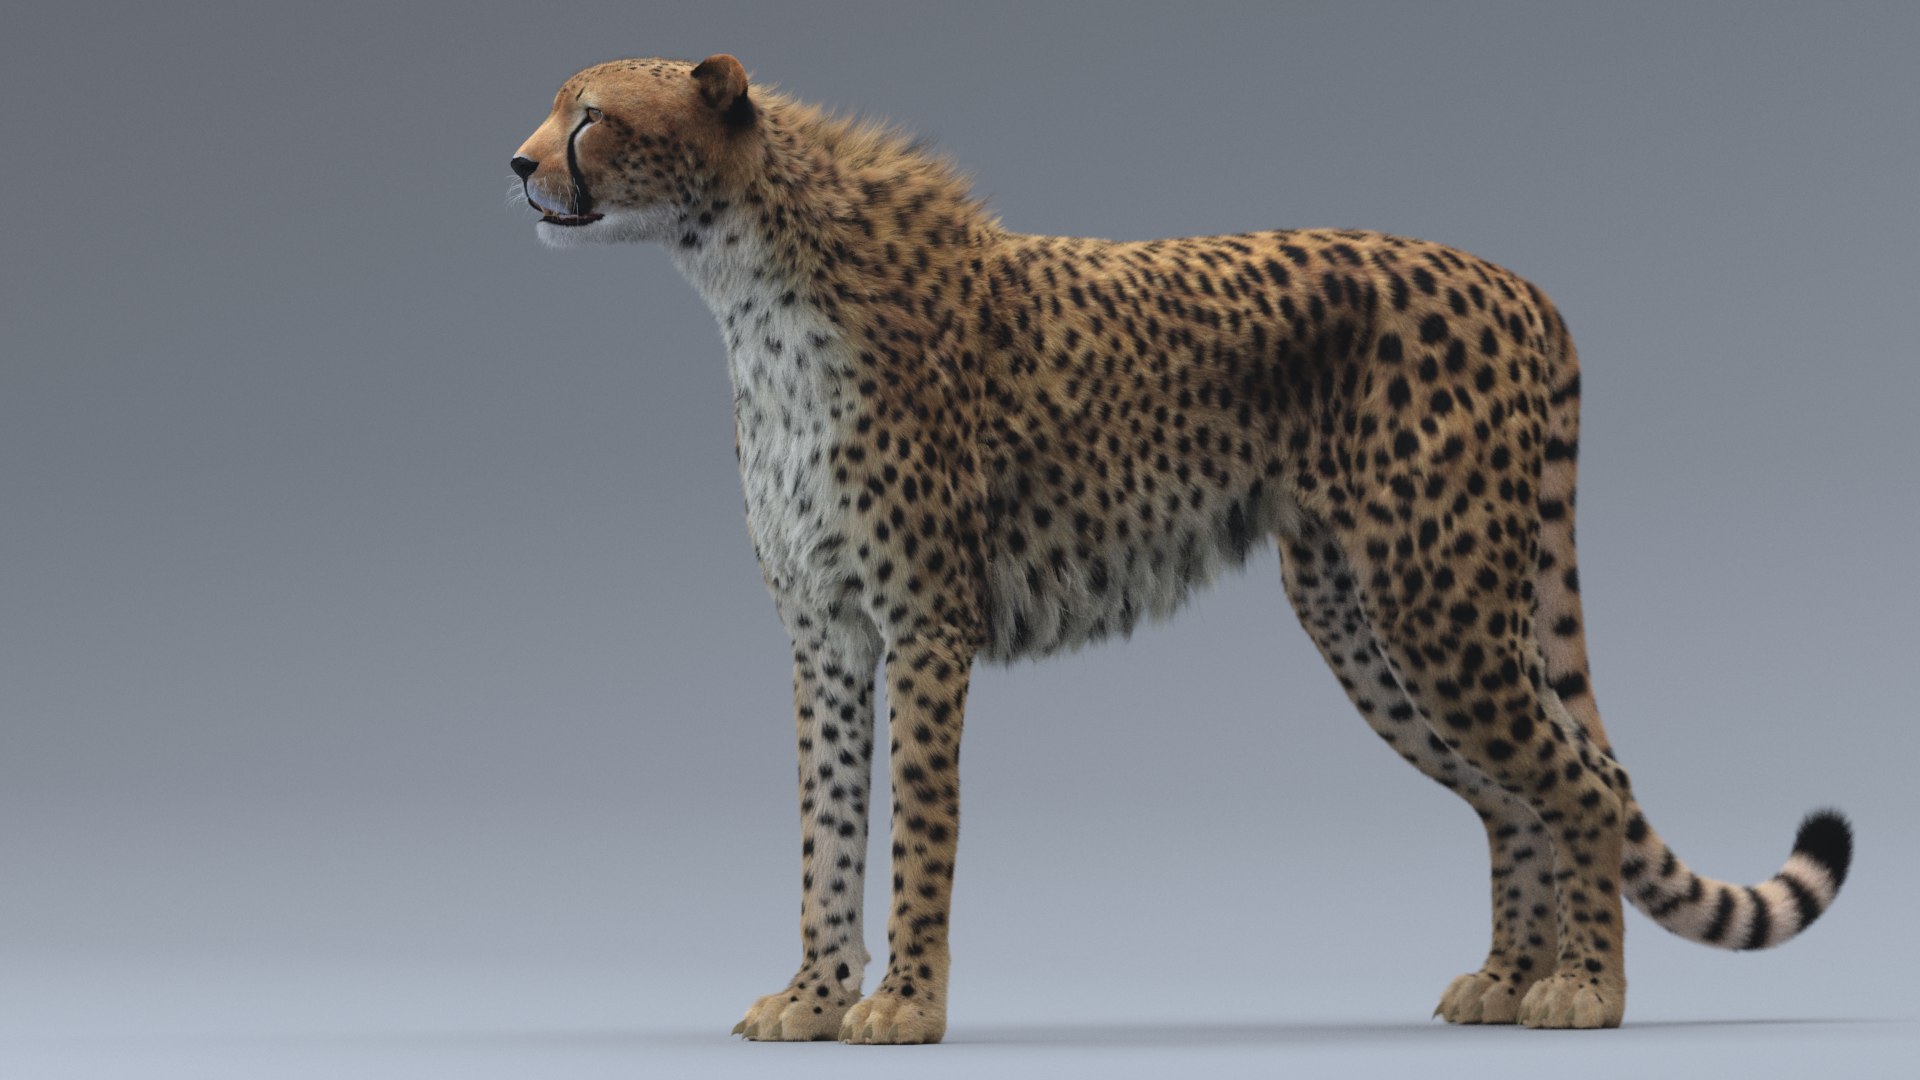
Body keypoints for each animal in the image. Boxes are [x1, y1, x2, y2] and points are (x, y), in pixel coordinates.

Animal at [510, 54, 1853, 1043]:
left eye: (592, 116)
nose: (516, 163)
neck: (748, 275)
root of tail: (1518, 284)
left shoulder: (929, 625)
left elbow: (918, 829)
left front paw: (904, 1008)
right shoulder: (825, 634)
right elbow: (824, 828)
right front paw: (812, 996)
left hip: (1440, 603)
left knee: (1589, 780)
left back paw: (1587, 993)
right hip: (1370, 621)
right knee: (1515, 795)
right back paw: (1508, 982)